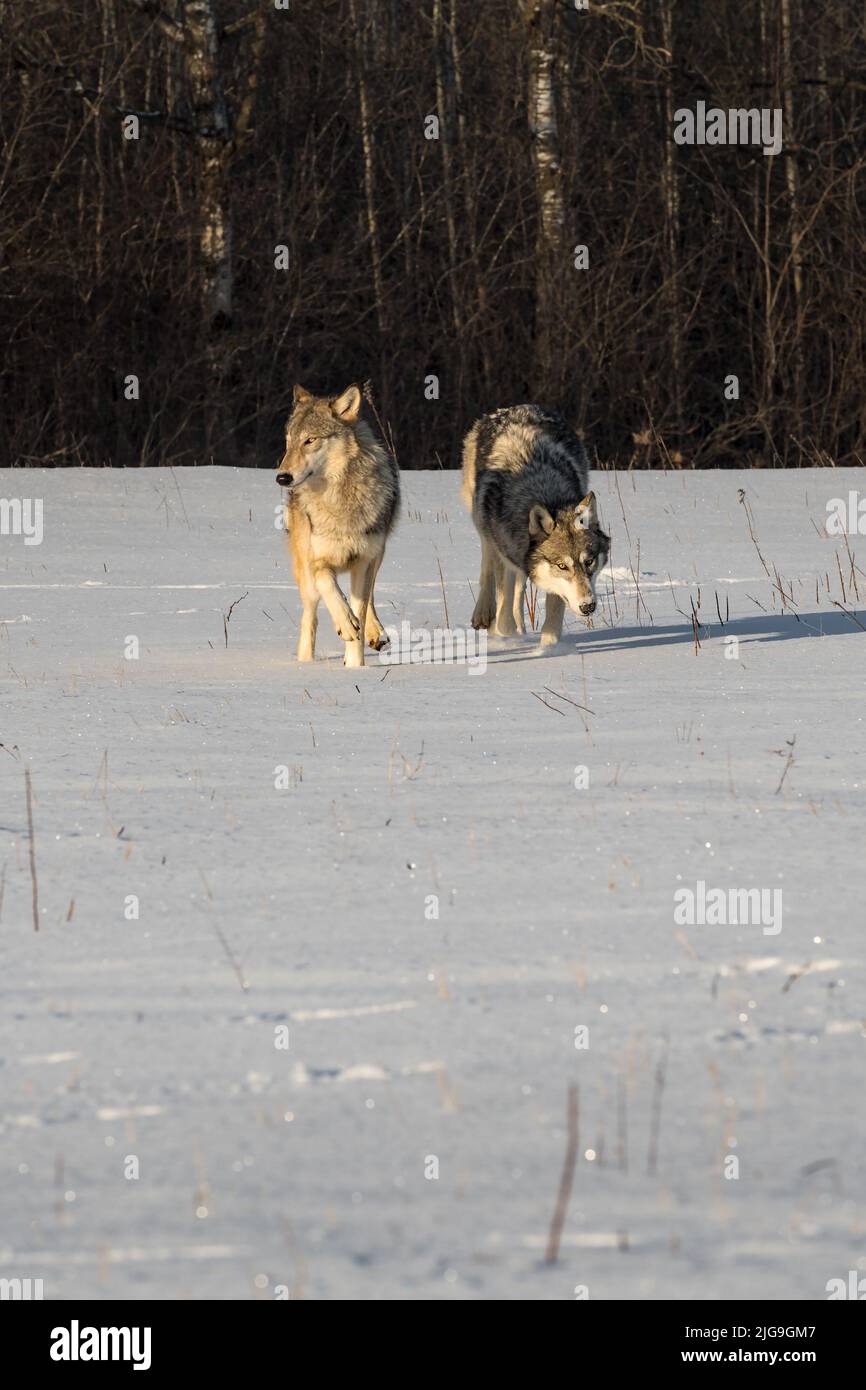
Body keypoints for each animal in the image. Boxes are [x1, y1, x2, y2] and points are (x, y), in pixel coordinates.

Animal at [276, 384, 399, 667]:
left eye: (310, 440)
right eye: (289, 441)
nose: (282, 477)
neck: (337, 500)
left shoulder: (364, 560)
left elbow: (361, 609)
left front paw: (355, 666)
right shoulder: (317, 560)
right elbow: (329, 586)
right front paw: (345, 623)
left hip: (378, 555)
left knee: (370, 595)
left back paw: (375, 633)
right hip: (305, 575)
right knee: (310, 616)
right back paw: (305, 660)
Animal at [461, 404, 609, 647]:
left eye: (589, 561)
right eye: (562, 566)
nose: (588, 606)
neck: (542, 491)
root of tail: (518, 407)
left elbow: (552, 621)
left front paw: (548, 650)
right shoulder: (504, 551)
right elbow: (504, 619)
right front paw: (507, 637)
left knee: (519, 588)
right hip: (481, 521)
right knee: (488, 565)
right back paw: (484, 614)